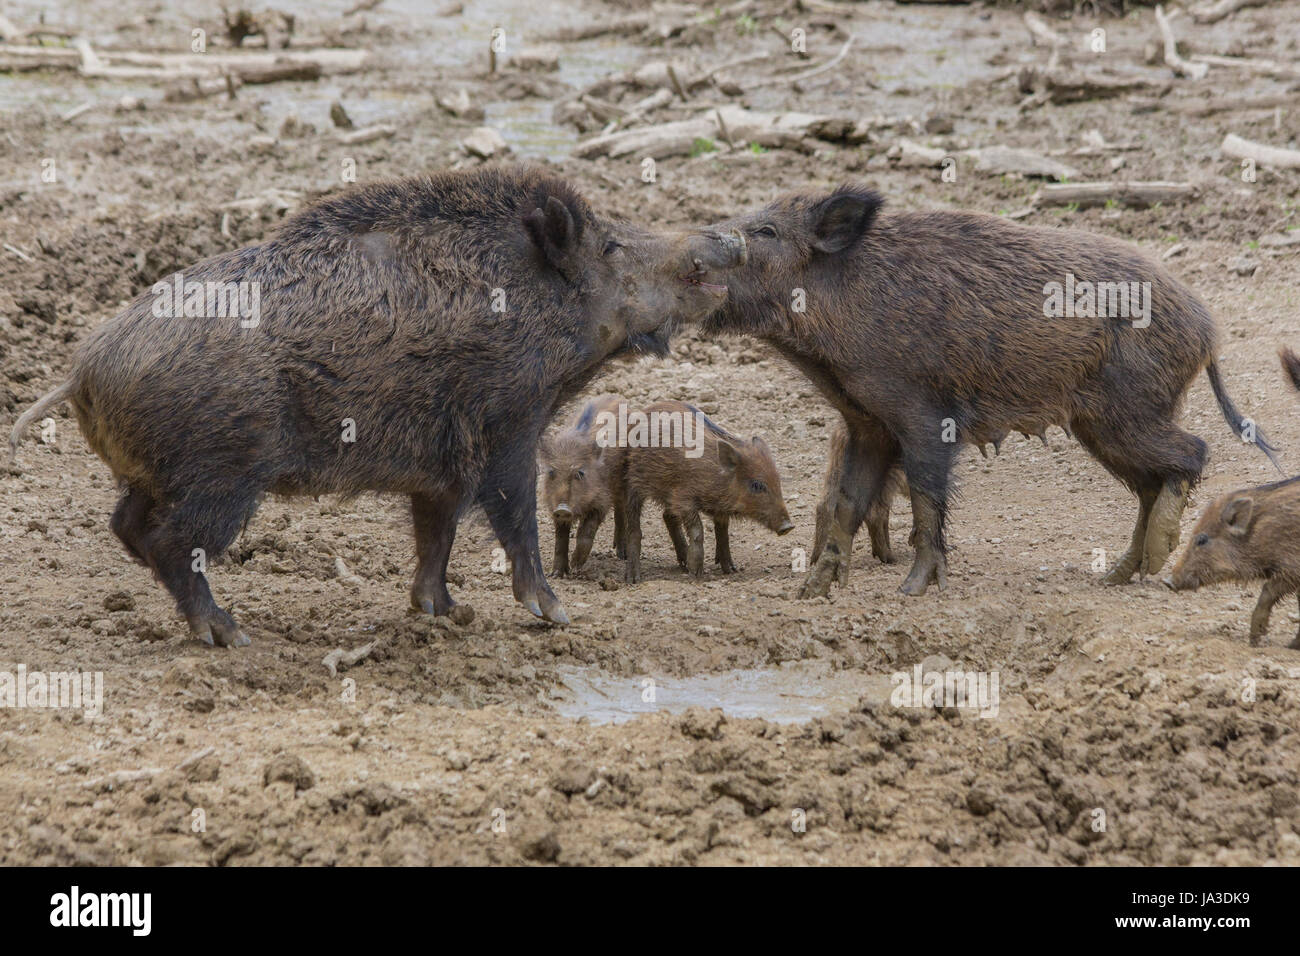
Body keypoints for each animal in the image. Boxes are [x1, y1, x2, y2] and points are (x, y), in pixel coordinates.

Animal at [540, 392, 627, 576]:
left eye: (580, 473)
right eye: (551, 472)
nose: (562, 508)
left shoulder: (601, 503)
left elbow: (586, 534)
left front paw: (575, 567)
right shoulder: (554, 510)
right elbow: (560, 539)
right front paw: (557, 574)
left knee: (621, 511)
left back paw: (623, 555)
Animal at [622, 400, 793, 582]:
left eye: (778, 481)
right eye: (756, 485)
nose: (788, 526)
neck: (716, 477)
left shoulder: (718, 508)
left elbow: (723, 531)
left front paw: (731, 569)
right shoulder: (684, 499)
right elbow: (698, 531)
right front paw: (696, 574)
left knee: (667, 516)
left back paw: (683, 563)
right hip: (634, 483)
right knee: (634, 529)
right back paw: (633, 579)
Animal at [1166, 348, 1300, 648]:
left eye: (1202, 539)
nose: (1168, 581)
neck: (1262, 530)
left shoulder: (1291, 567)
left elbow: (1268, 591)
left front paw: (1256, 640)